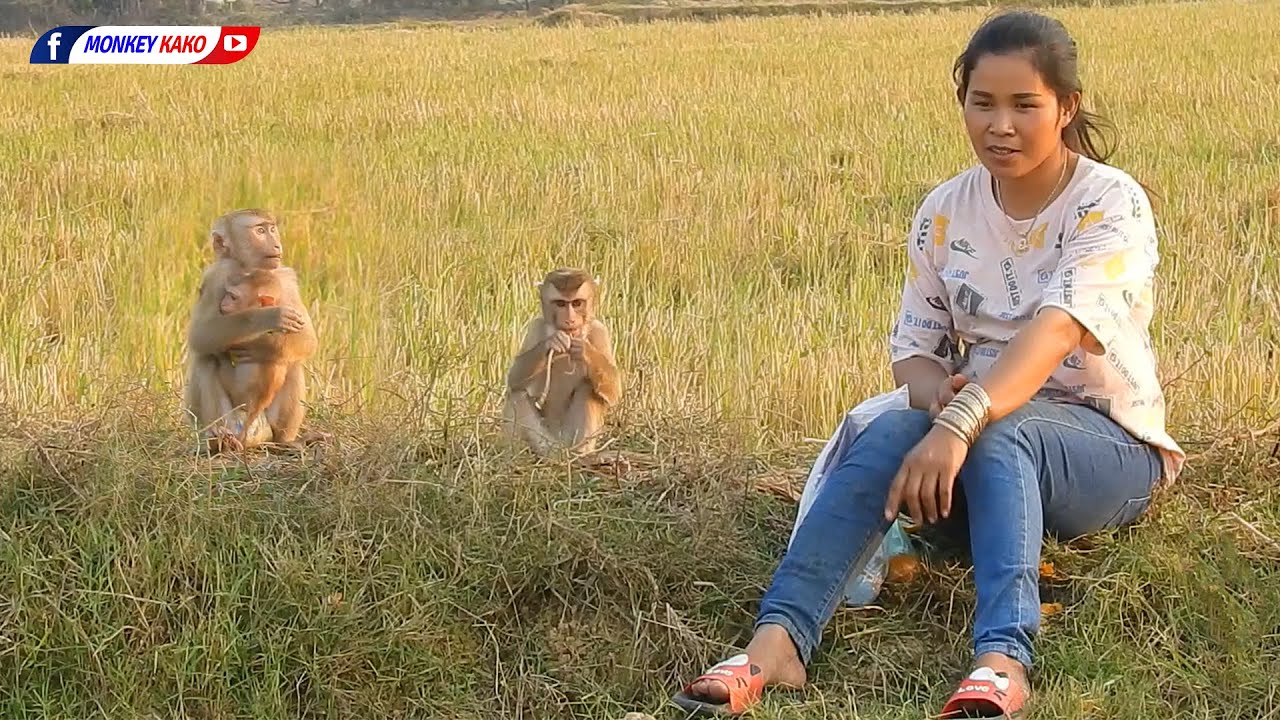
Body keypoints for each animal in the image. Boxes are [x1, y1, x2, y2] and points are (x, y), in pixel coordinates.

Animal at [182, 208, 318, 453]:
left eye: (271, 229)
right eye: (260, 231)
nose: (276, 243)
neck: (248, 267)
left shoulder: (285, 276)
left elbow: (307, 338)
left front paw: (262, 347)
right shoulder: (217, 274)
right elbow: (201, 334)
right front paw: (269, 317)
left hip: (266, 427)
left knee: (292, 361)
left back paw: (286, 441)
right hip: (230, 420)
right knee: (206, 359)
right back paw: (217, 442)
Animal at [503, 268, 622, 458]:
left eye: (577, 303)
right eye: (560, 304)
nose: (570, 320)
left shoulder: (599, 330)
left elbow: (614, 391)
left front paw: (584, 350)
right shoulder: (536, 326)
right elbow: (514, 378)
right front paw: (552, 342)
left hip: (571, 440)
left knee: (588, 387)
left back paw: (580, 453)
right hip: (546, 442)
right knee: (517, 396)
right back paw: (514, 455)